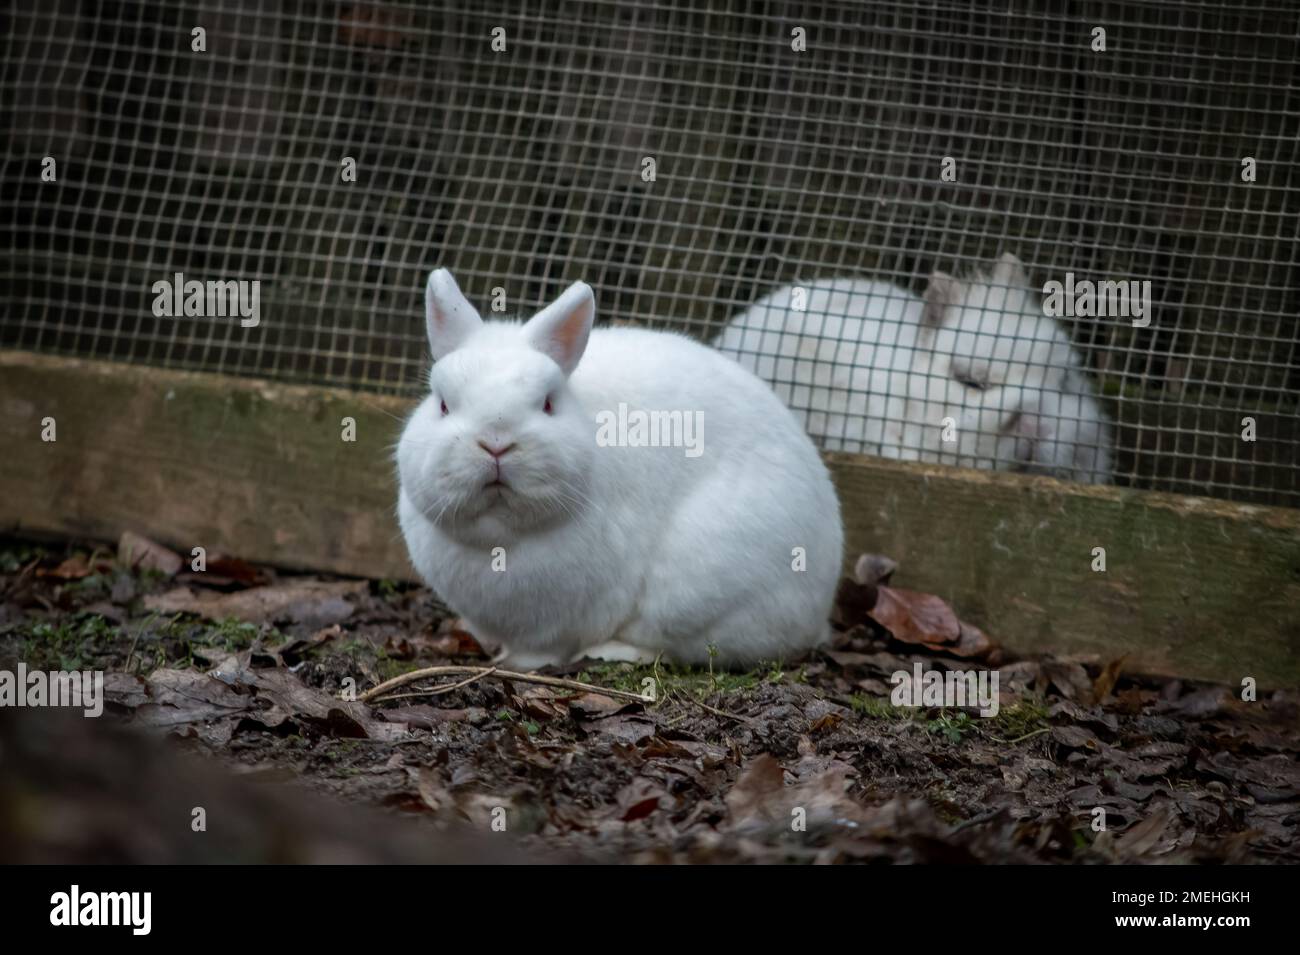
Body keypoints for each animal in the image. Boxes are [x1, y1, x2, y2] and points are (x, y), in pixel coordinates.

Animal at [396, 269, 845, 670]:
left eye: (548, 404)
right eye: (443, 404)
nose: (496, 442)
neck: (500, 538)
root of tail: (820, 609)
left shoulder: (557, 621)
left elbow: (542, 650)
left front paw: (517, 664)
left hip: (702, 589)